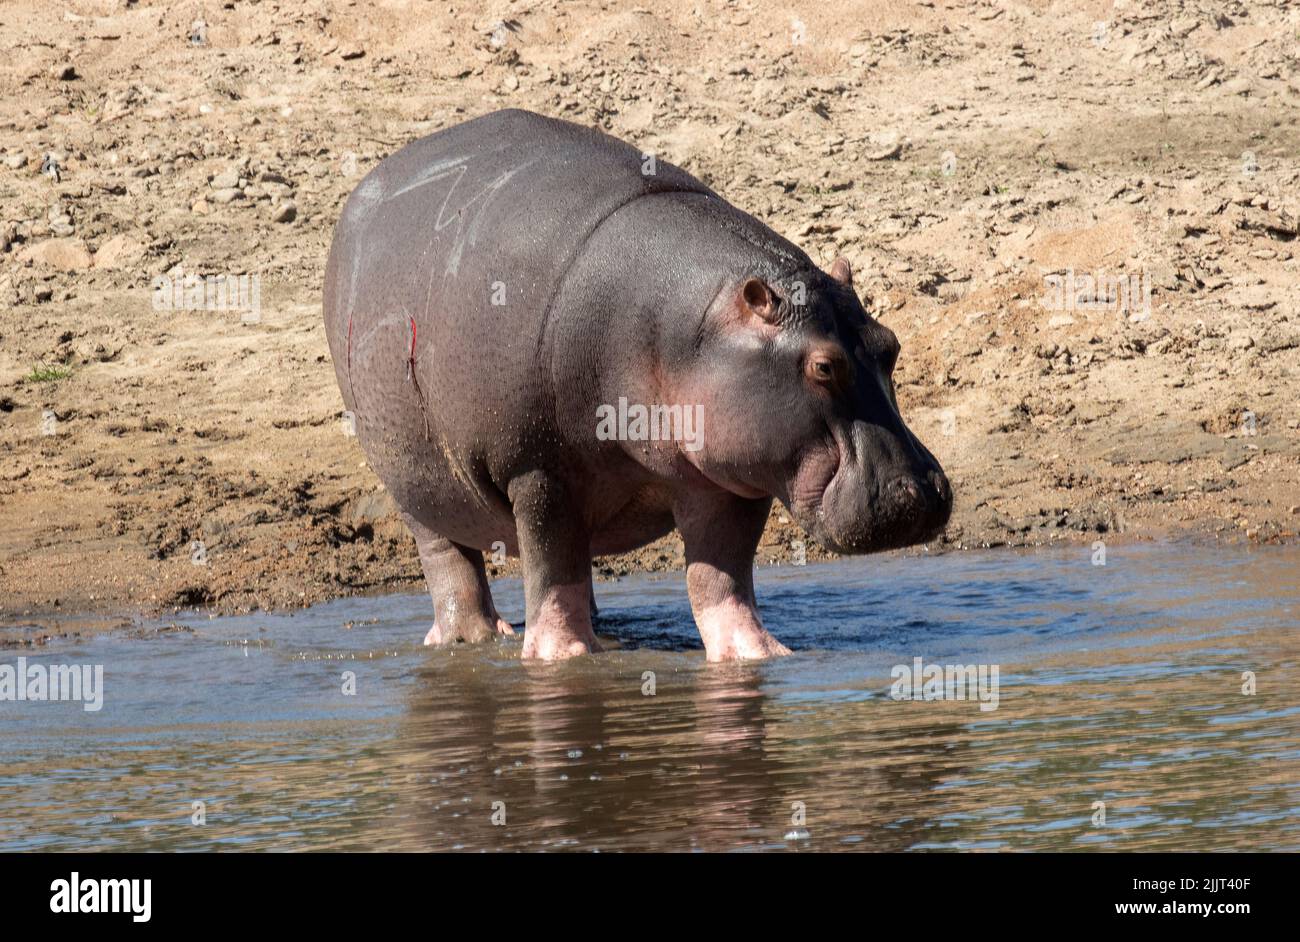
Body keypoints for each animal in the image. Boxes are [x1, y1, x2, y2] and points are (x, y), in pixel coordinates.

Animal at [323, 109, 951, 661]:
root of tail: (364, 191)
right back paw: (472, 638)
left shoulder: (728, 475)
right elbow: (550, 567)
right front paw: (562, 660)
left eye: (890, 344)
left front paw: (759, 656)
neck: (691, 331)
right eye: (823, 366)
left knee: (573, 569)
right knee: (455, 565)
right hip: (413, 482)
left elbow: (720, 581)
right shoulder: (537, 470)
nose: (923, 492)